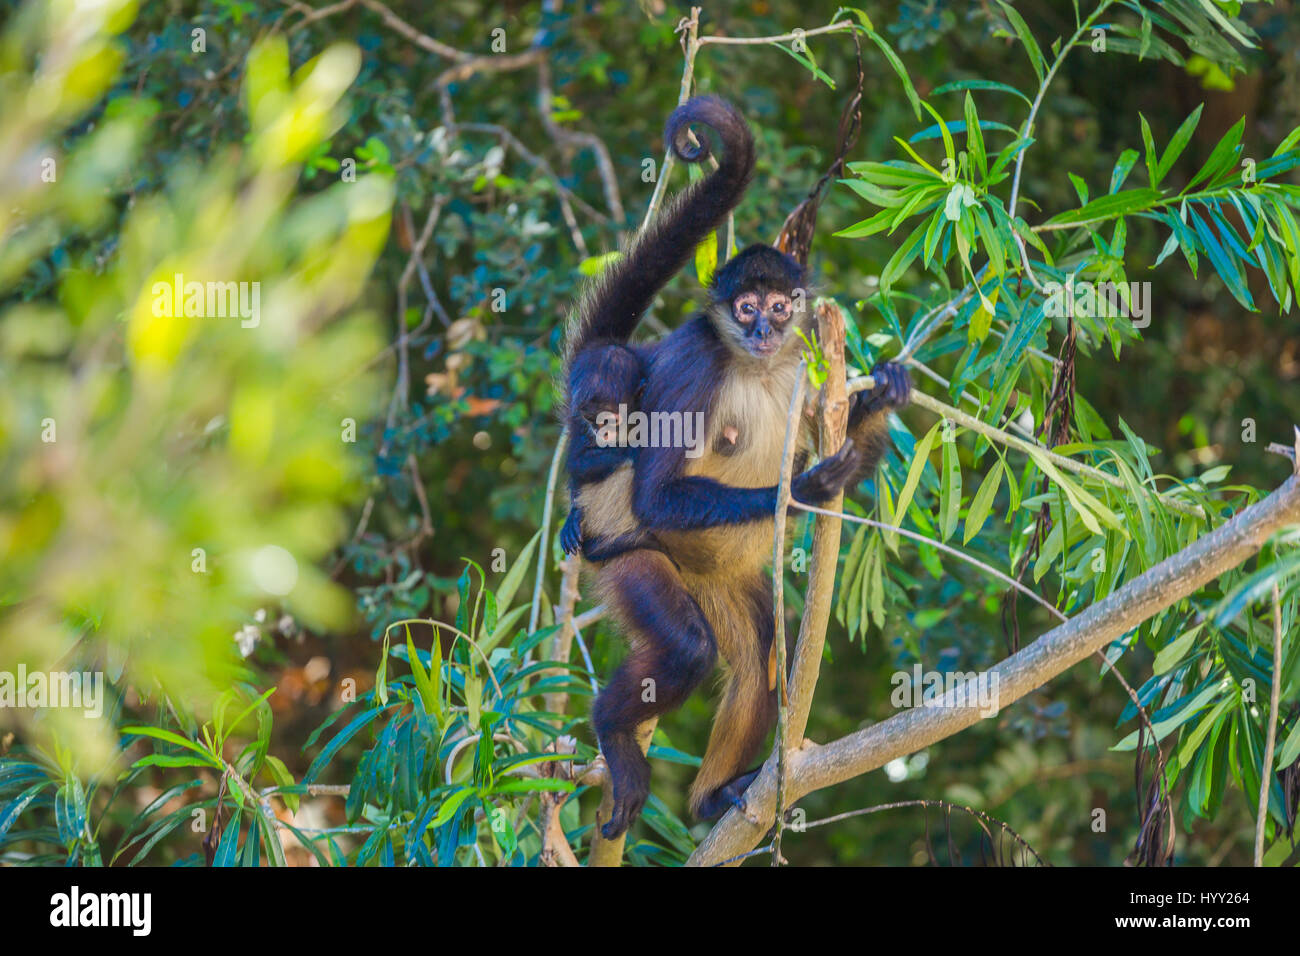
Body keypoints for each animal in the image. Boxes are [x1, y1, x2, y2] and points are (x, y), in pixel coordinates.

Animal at [562, 95, 910, 838]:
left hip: (725, 579)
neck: (755, 365)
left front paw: (886, 390)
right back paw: (615, 729)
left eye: (779, 306)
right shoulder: (695, 362)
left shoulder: (805, 358)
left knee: (760, 663)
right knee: (688, 646)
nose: (763, 328)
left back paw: (714, 797)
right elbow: (657, 492)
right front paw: (805, 487)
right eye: (744, 307)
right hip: (638, 560)